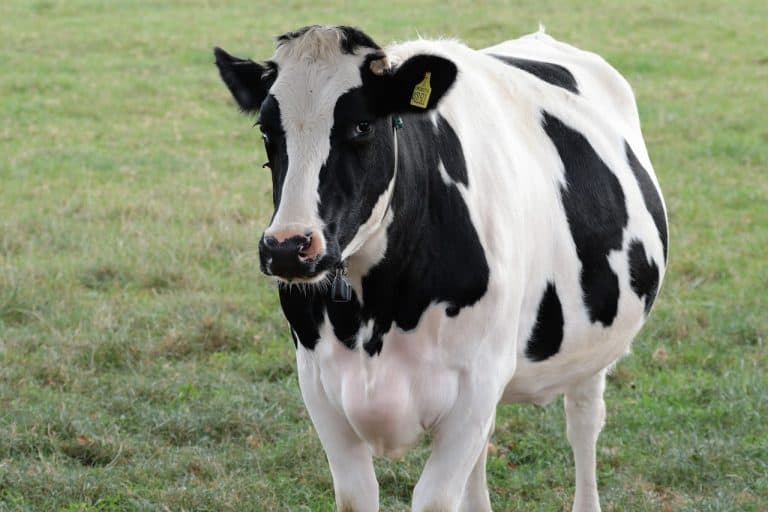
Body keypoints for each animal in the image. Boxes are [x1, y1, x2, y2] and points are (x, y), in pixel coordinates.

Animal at [214, 25, 667, 512]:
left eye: (362, 124)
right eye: (266, 128)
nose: (287, 248)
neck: (376, 310)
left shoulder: (475, 388)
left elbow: (435, 498)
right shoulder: (318, 385)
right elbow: (358, 495)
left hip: (592, 345)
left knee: (583, 422)